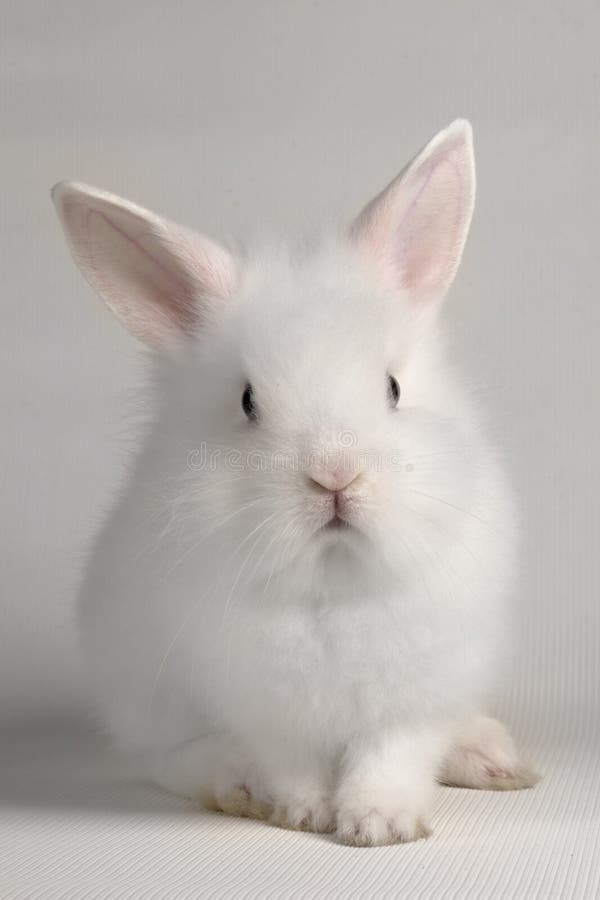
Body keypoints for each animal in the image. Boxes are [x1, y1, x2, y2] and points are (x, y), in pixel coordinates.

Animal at [52, 119, 538, 846]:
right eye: (248, 402)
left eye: (393, 389)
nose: (334, 473)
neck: (332, 586)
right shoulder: (264, 712)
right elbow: (288, 764)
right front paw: (304, 812)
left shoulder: (412, 702)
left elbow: (391, 756)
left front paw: (379, 825)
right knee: (174, 760)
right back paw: (235, 786)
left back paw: (493, 760)